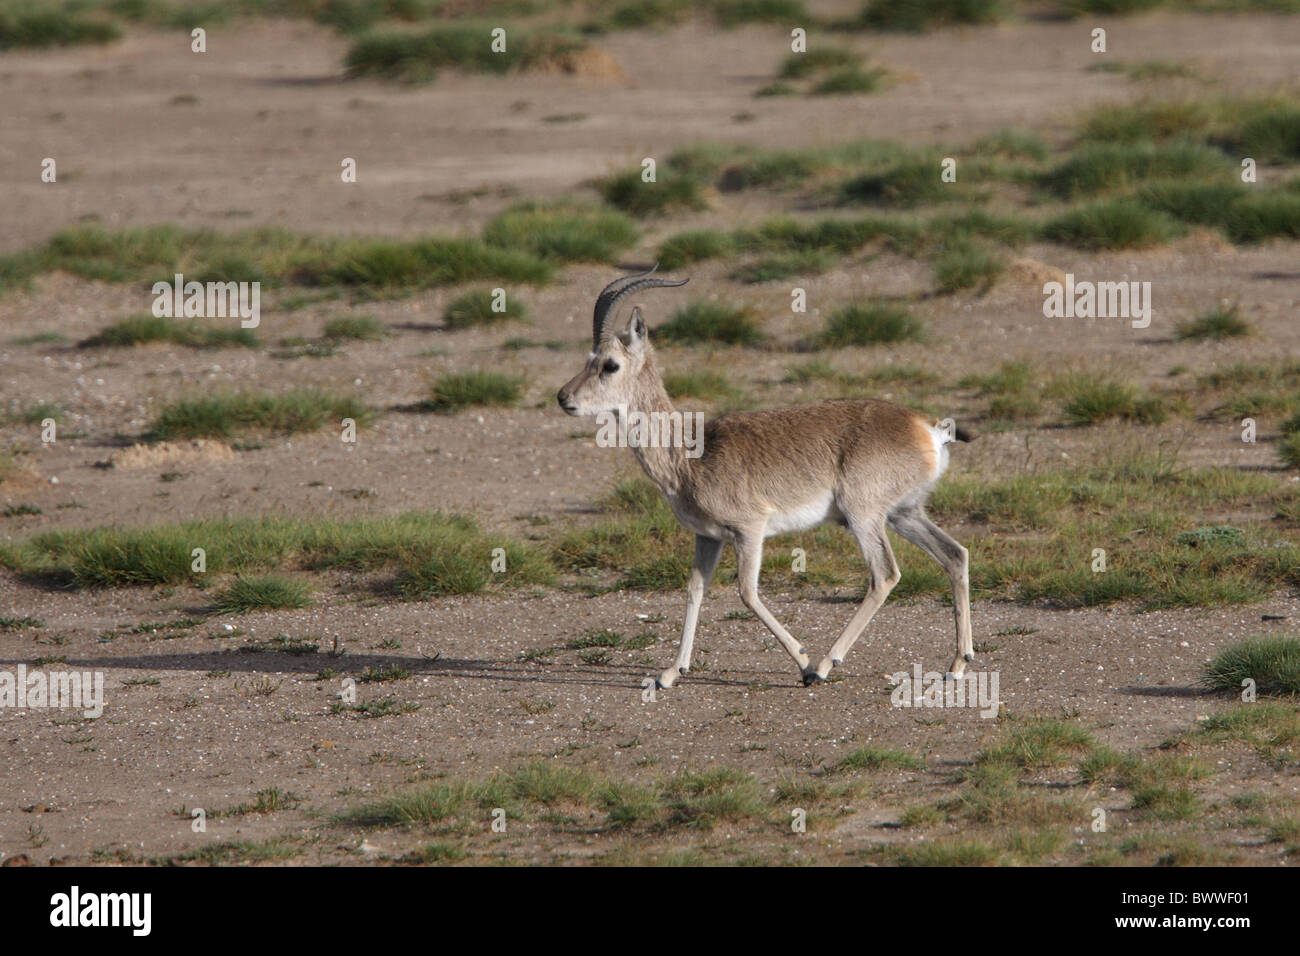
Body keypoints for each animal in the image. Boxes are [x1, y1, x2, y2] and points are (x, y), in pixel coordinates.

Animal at [557, 268, 974, 689]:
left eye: (610, 364)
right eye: (588, 359)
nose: (563, 398)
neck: (691, 452)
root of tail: (925, 425)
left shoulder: (750, 530)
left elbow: (747, 592)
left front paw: (804, 663)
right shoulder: (708, 537)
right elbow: (695, 590)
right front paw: (671, 672)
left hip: (863, 516)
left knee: (884, 575)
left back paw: (825, 666)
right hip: (904, 514)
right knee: (955, 555)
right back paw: (957, 663)